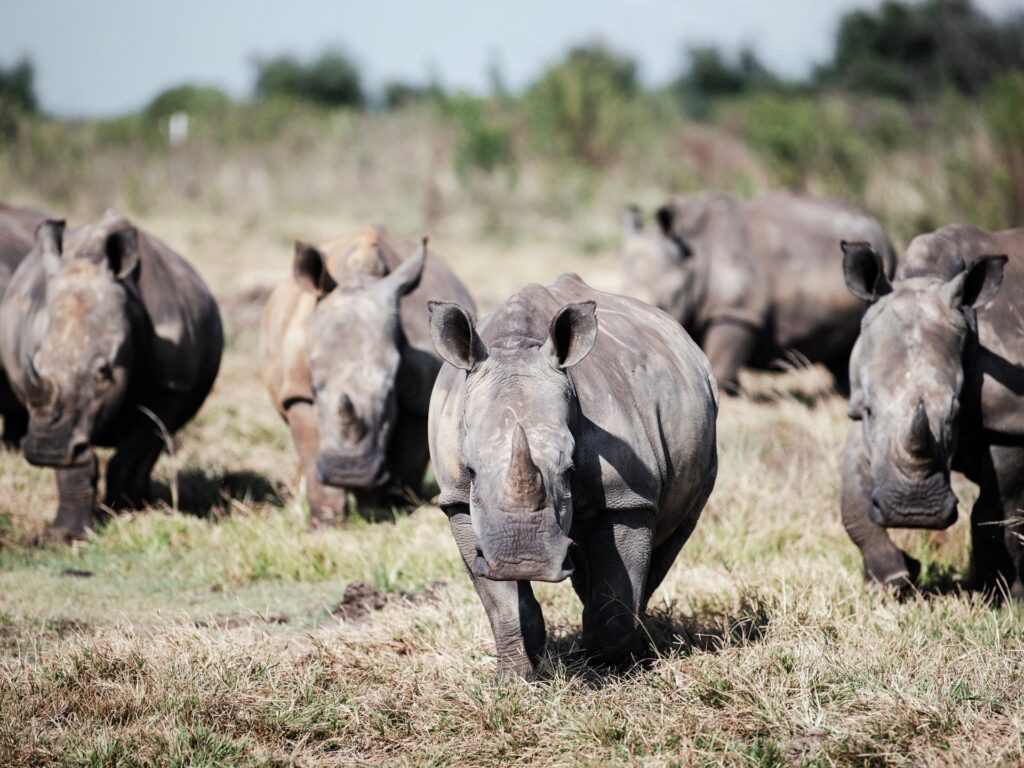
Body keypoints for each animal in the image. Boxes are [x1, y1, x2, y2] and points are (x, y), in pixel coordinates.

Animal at [0, 211, 223, 540]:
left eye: (102, 373)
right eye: (37, 361)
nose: (46, 451)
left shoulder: (170, 389)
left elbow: (133, 452)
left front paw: (126, 515)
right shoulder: (64, 419)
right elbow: (76, 463)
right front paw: (65, 537)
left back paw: (141, 503)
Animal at [260, 226, 476, 527]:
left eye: (390, 390)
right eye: (315, 384)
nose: (351, 471)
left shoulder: (419, 397)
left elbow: (408, 457)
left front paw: (386, 510)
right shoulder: (297, 391)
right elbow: (312, 453)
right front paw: (325, 524)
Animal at [428, 272, 718, 679]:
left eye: (569, 469)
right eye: (470, 469)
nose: (525, 560)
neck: (516, 344)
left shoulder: (625, 497)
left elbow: (617, 590)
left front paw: (609, 670)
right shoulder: (457, 499)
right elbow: (503, 602)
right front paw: (516, 678)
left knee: (673, 536)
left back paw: (635, 649)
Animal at [621, 191, 895, 395]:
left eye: (663, 305)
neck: (694, 256)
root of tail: (883, 232)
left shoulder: (737, 312)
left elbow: (721, 361)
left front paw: (728, 394)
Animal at [839, 224, 1024, 596]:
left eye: (955, 412)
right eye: (869, 410)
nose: (914, 512)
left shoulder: (1008, 423)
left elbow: (998, 511)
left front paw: (1001, 596)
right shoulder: (859, 408)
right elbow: (852, 494)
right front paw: (891, 581)